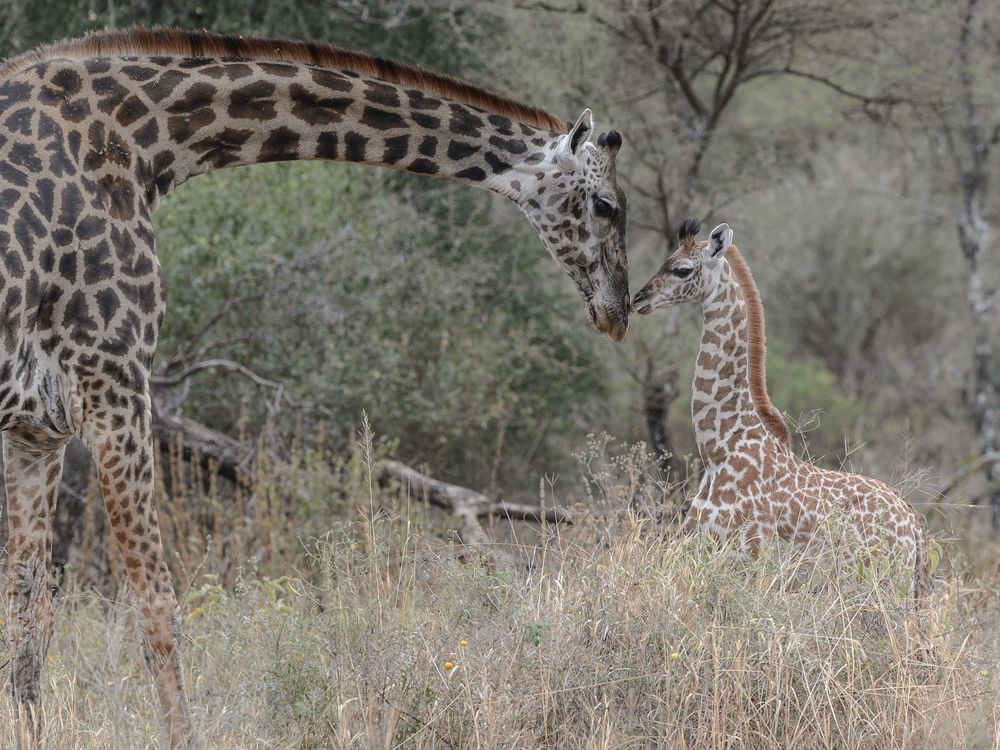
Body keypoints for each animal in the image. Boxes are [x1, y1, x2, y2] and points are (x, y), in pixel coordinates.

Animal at [0, 27, 630, 745]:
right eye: (607, 205)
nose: (617, 311)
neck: (142, 143)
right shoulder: (114, 381)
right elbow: (157, 609)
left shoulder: (36, 427)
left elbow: (29, 616)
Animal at [631, 221, 931, 597]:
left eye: (682, 269)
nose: (638, 299)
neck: (720, 448)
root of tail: (914, 527)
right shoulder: (703, 540)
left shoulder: (748, 554)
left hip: (877, 585)